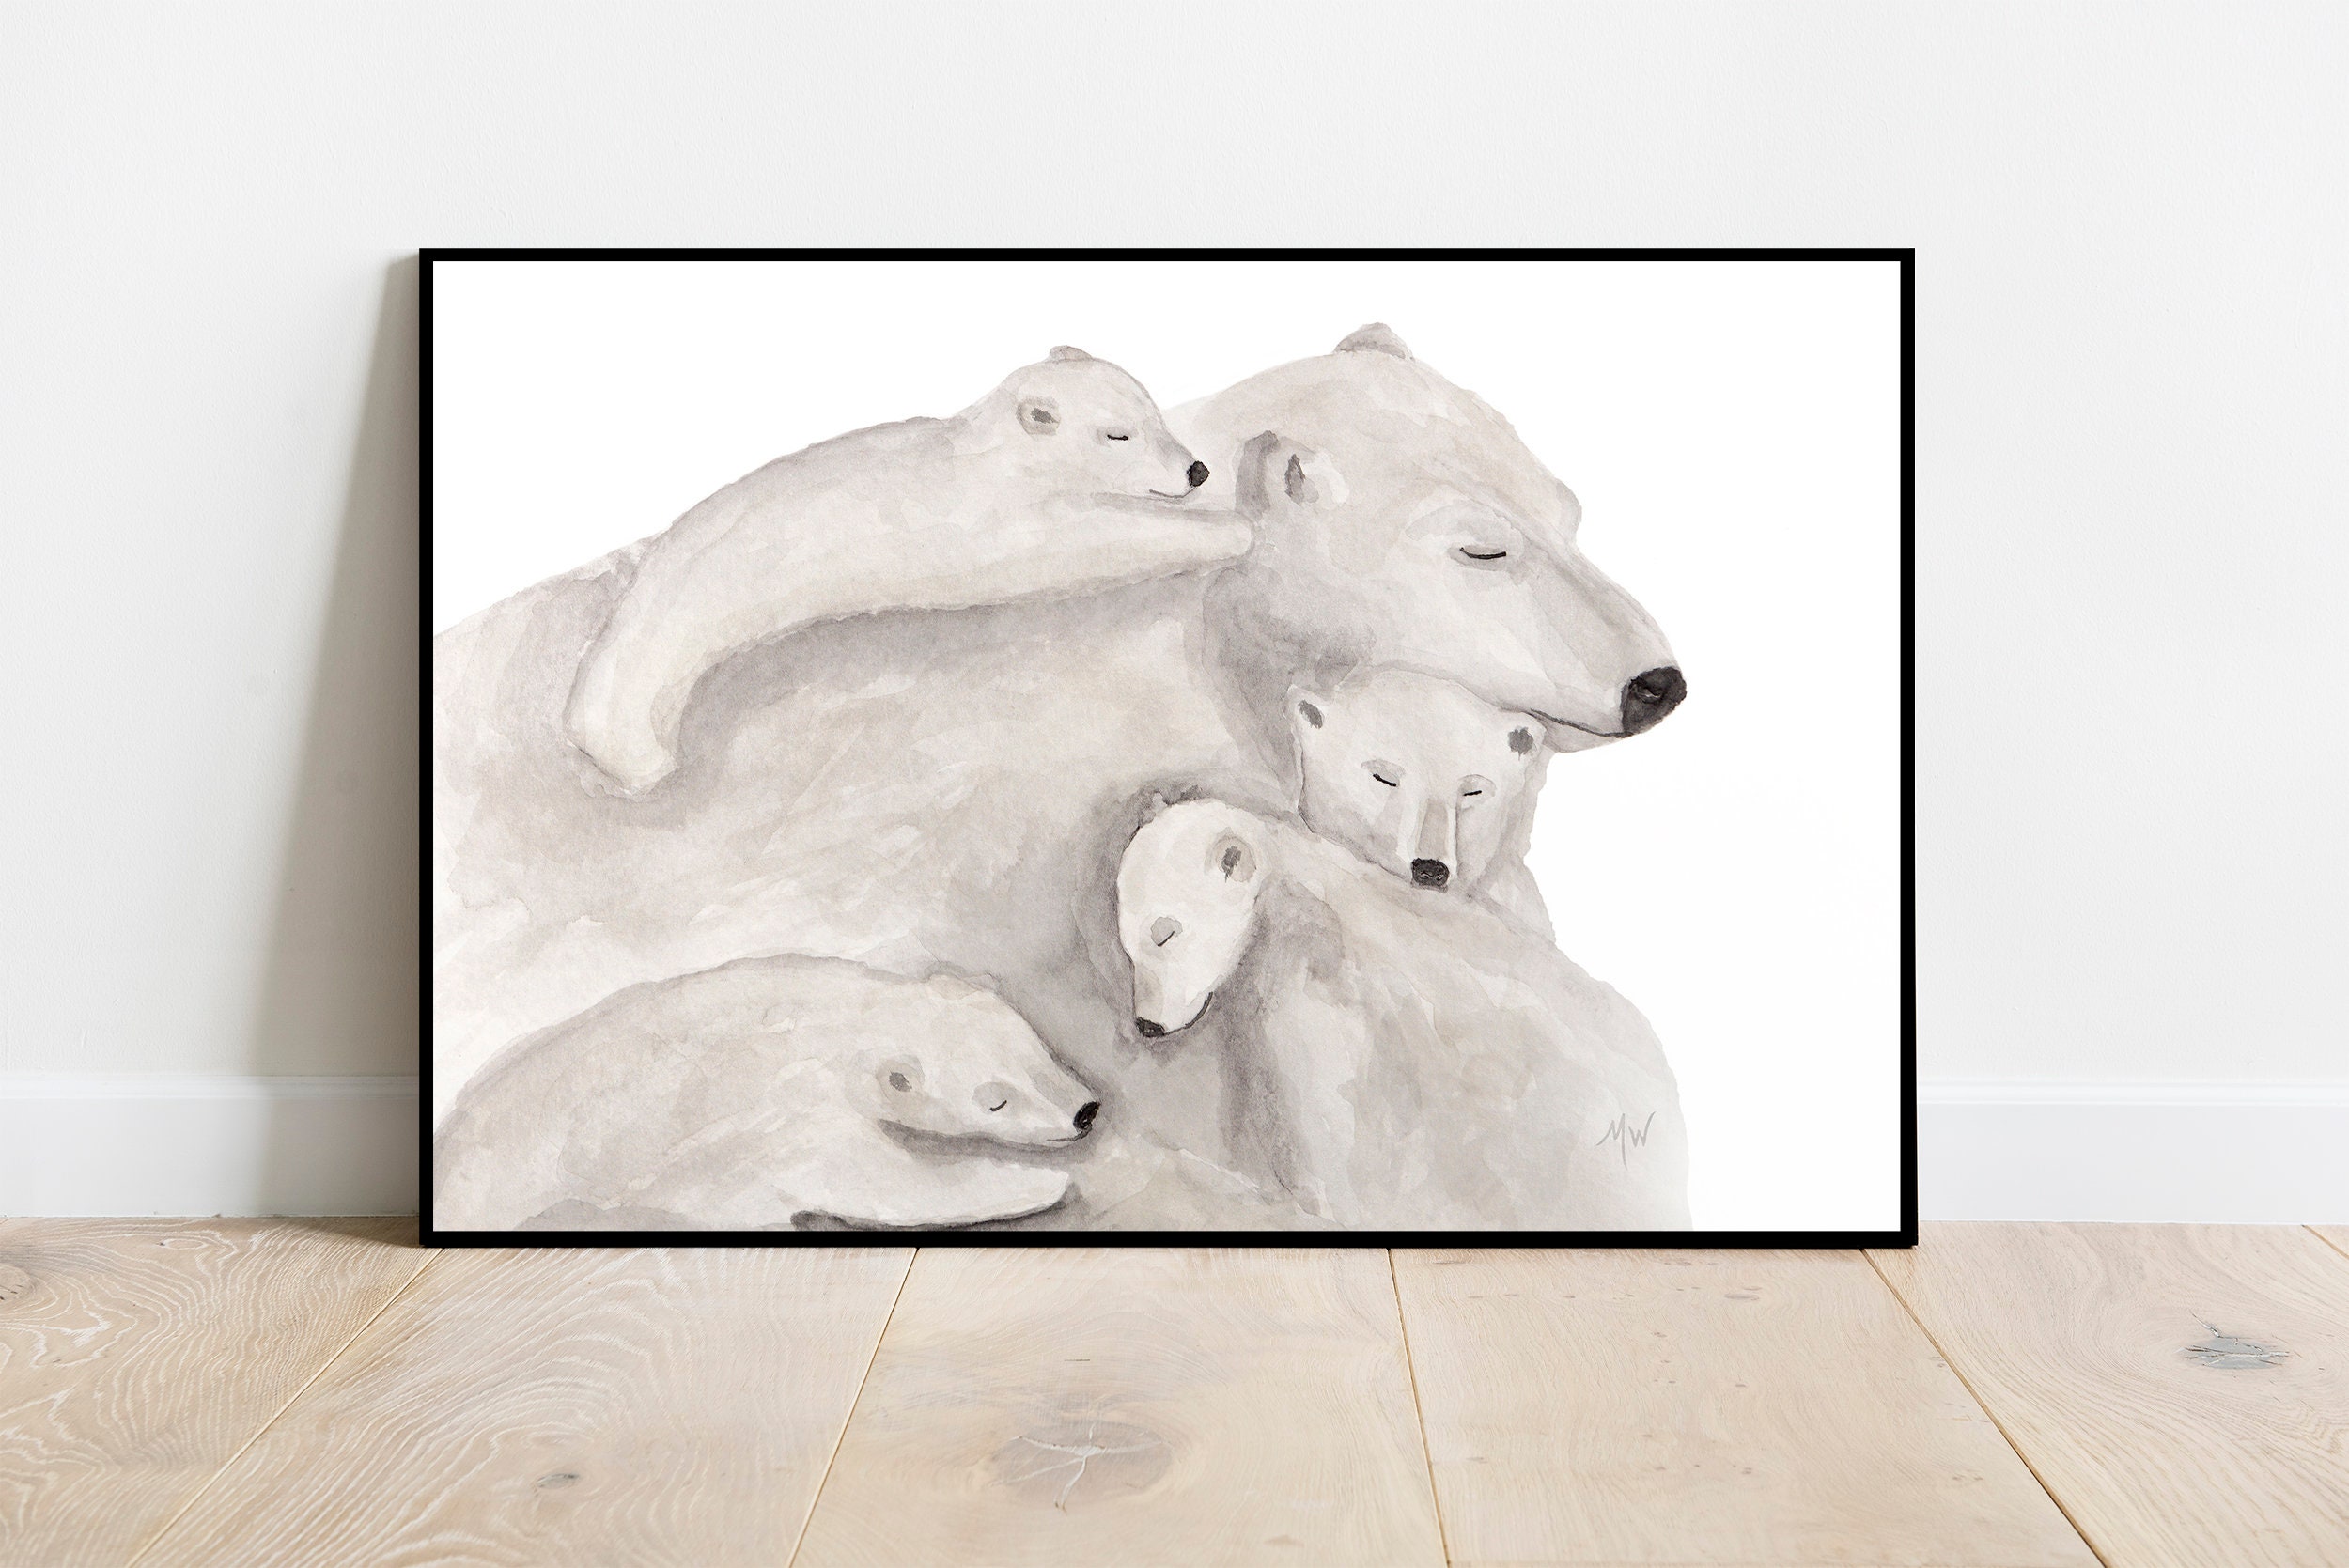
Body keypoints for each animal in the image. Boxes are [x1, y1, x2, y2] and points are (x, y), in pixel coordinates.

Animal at [432, 955, 1098, 1231]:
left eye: (1037, 1048)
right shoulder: (782, 1107)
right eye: (996, 1098)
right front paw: (1040, 1184)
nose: (1085, 1110)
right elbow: (871, 1174)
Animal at [566, 346, 1238, 791]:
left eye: (1154, 412)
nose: (1196, 470)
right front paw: (1235, 530)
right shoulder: (1003, 531)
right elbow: (1102, 543)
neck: (984, 462)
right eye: (1117, 435)